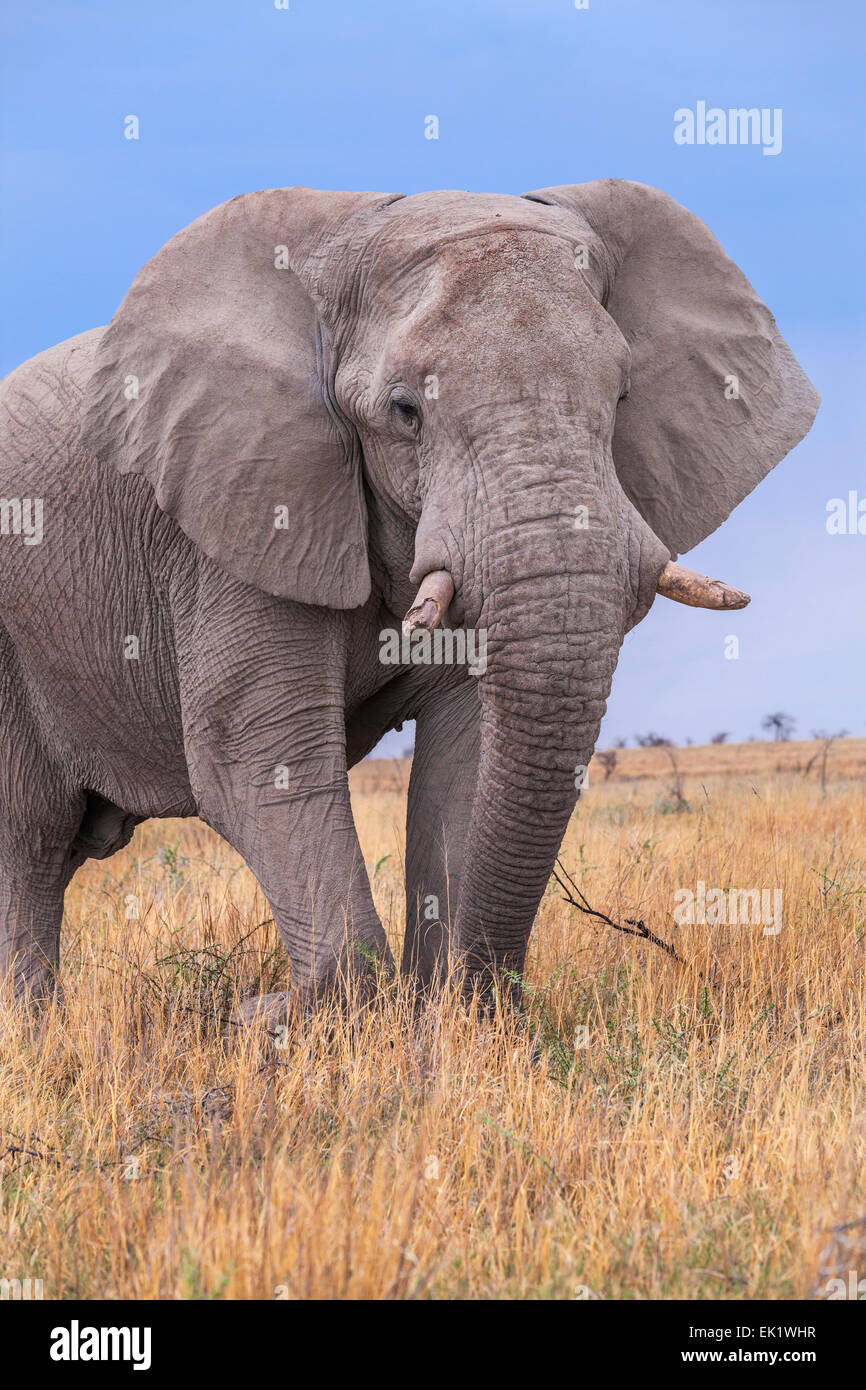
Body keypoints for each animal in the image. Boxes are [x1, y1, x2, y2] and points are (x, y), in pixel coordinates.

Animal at [0, 180, 818, 1017]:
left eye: (622, 396)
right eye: (404, 410)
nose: (249, 1003)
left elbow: (465, 756)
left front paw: (449, 1019)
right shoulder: (233, 519)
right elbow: (255, 752)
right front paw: (284, 1019)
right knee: (29, 839)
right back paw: (36, 1027)